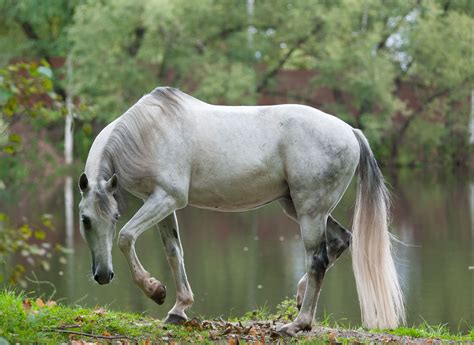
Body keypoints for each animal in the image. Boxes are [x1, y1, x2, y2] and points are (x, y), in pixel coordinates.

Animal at [78, 86, 404, 334]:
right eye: (85, 220)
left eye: (114, 217)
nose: (103, 275)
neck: (148, 131)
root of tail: (350, 131)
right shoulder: (161, 202)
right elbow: (174, 253)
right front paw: (178, 309)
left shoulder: (166, 199)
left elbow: (126, 237)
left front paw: (154, 290)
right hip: (299, 208)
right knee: (341, 241)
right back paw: (299, 299)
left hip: (310, 212)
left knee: (318, 260)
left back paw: (297, 325)